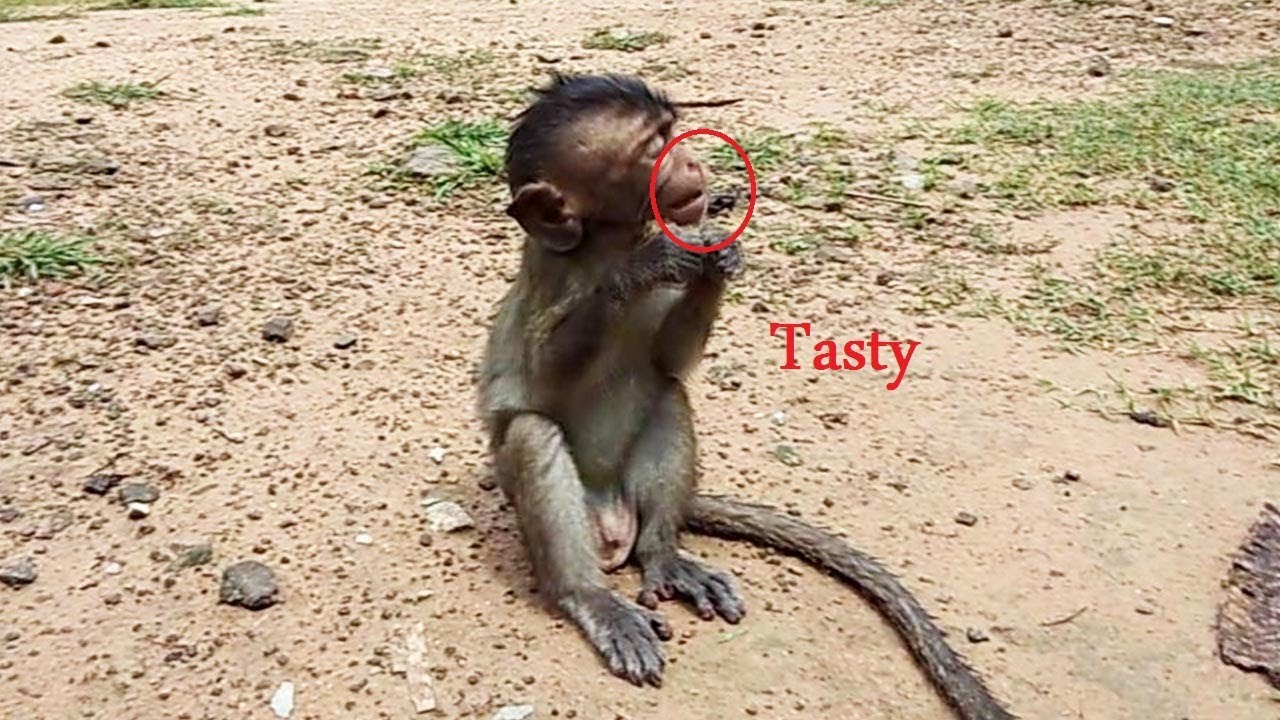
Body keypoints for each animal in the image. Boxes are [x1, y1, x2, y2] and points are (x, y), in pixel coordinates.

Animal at [476, 73, 1015, 720]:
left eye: (673, 134)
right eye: (652, 150)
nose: (690, 159)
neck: (608, 241)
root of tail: (612, 521)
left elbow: (667, 363)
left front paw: (718, 256)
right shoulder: (553, 272)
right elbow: (542, 379)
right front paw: (645, 266)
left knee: (667, 396)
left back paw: (665, 555)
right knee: (532, 435)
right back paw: (590, 596)